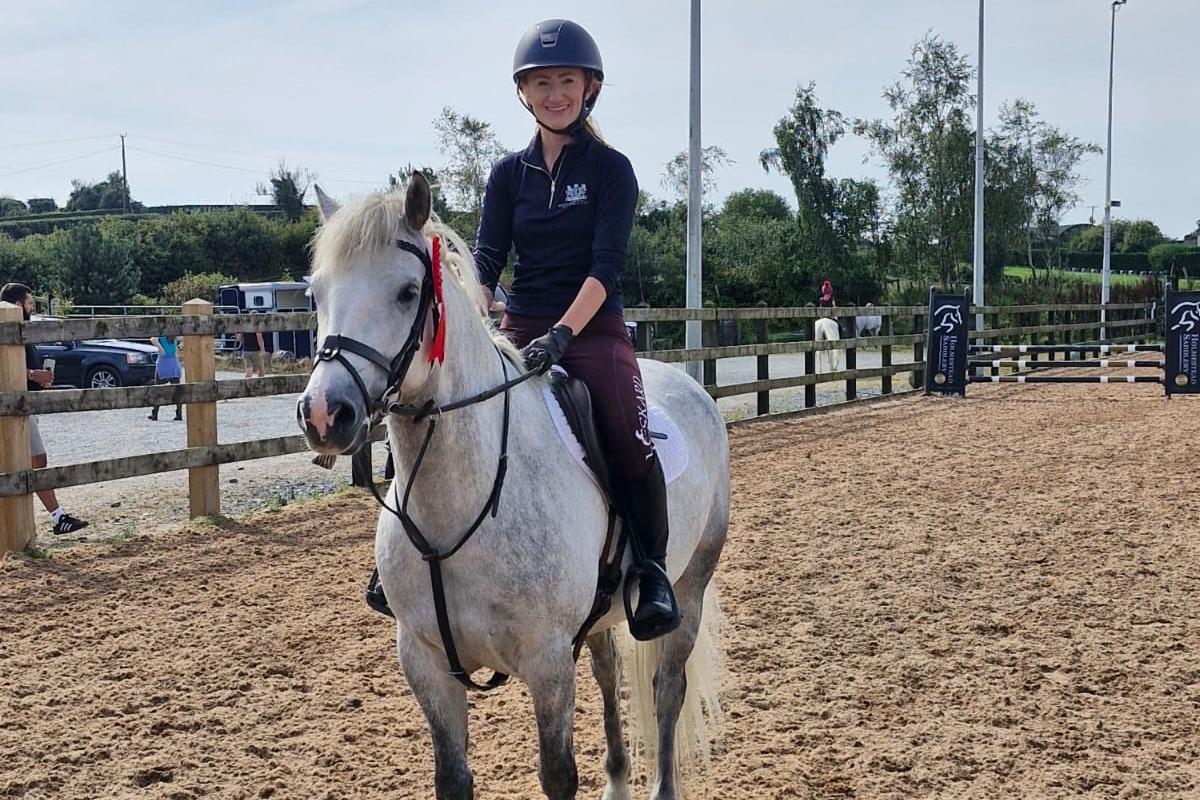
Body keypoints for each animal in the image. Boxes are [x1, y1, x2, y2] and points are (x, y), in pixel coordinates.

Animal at [297, 175, 729, 800]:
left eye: (407, 292)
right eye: (316, 293)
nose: (325, 414)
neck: (458, 507)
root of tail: (690, 386)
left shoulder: (546, 662)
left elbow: (558, 776)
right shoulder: (425, 663)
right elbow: (453, 780)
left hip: (690, 585)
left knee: (667, 689)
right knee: (606, 670)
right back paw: (617, 782)